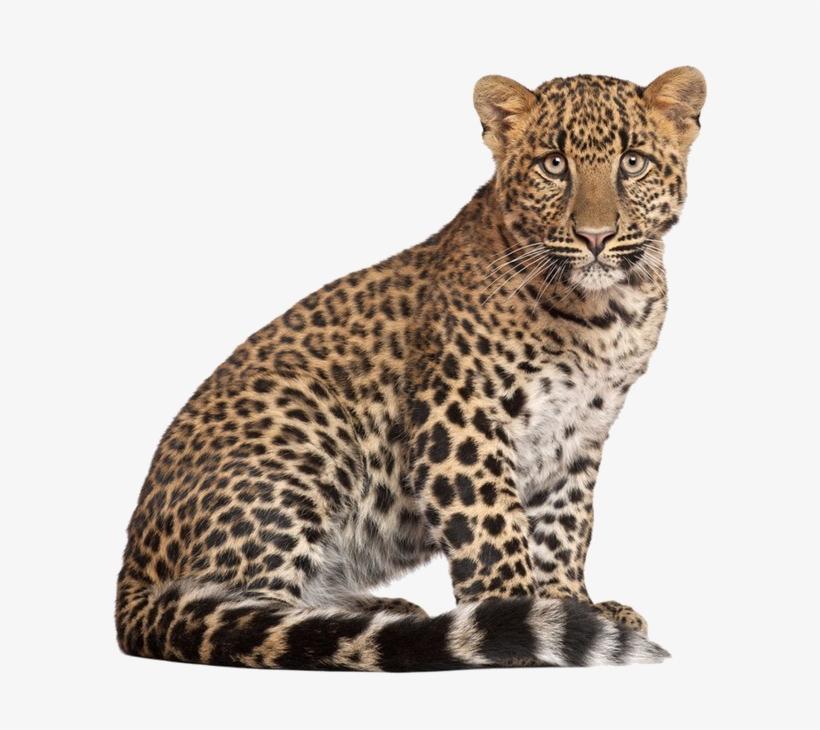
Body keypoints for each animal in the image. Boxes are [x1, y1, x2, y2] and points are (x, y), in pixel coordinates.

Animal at [116, 66, 706, 670]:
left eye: (632, 162)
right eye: (553, 164)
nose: (595, 237)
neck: (606, 313)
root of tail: (131, 577)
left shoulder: (579, 433)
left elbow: (566, 527)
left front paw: (572, 605)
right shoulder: (460, 417)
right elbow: (492, 525)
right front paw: (521, 616)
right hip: (308, 423)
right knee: (243, 617)